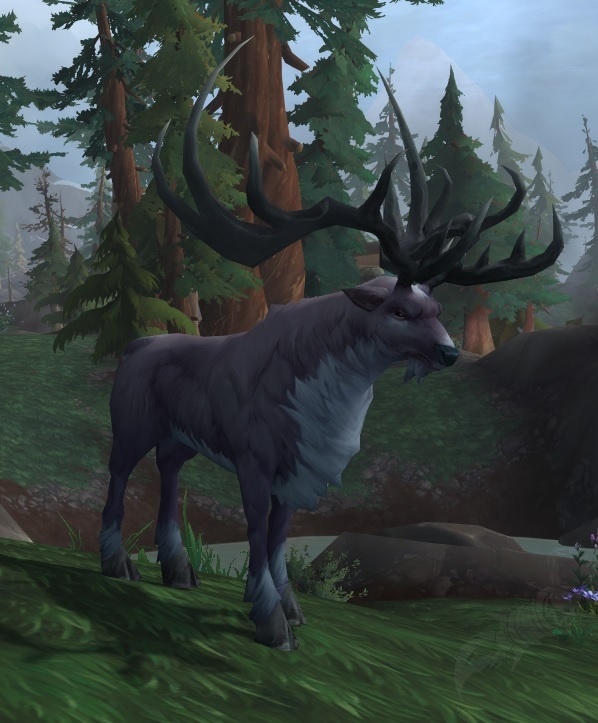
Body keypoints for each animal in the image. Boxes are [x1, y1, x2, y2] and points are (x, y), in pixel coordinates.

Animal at [98, 38, 563, 651]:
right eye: (398, 310)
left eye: (439, 311)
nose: (448, 353)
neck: (327, 403)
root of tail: (134, 347)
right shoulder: (255, 457)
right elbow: (256, 531)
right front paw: (270, 621)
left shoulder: (301, 469)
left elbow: (279, 536)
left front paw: (292, 610)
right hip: (132, 423)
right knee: (119, 474)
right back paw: (116, 564)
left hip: (180, 438)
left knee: (170, 475)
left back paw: (178, 570)